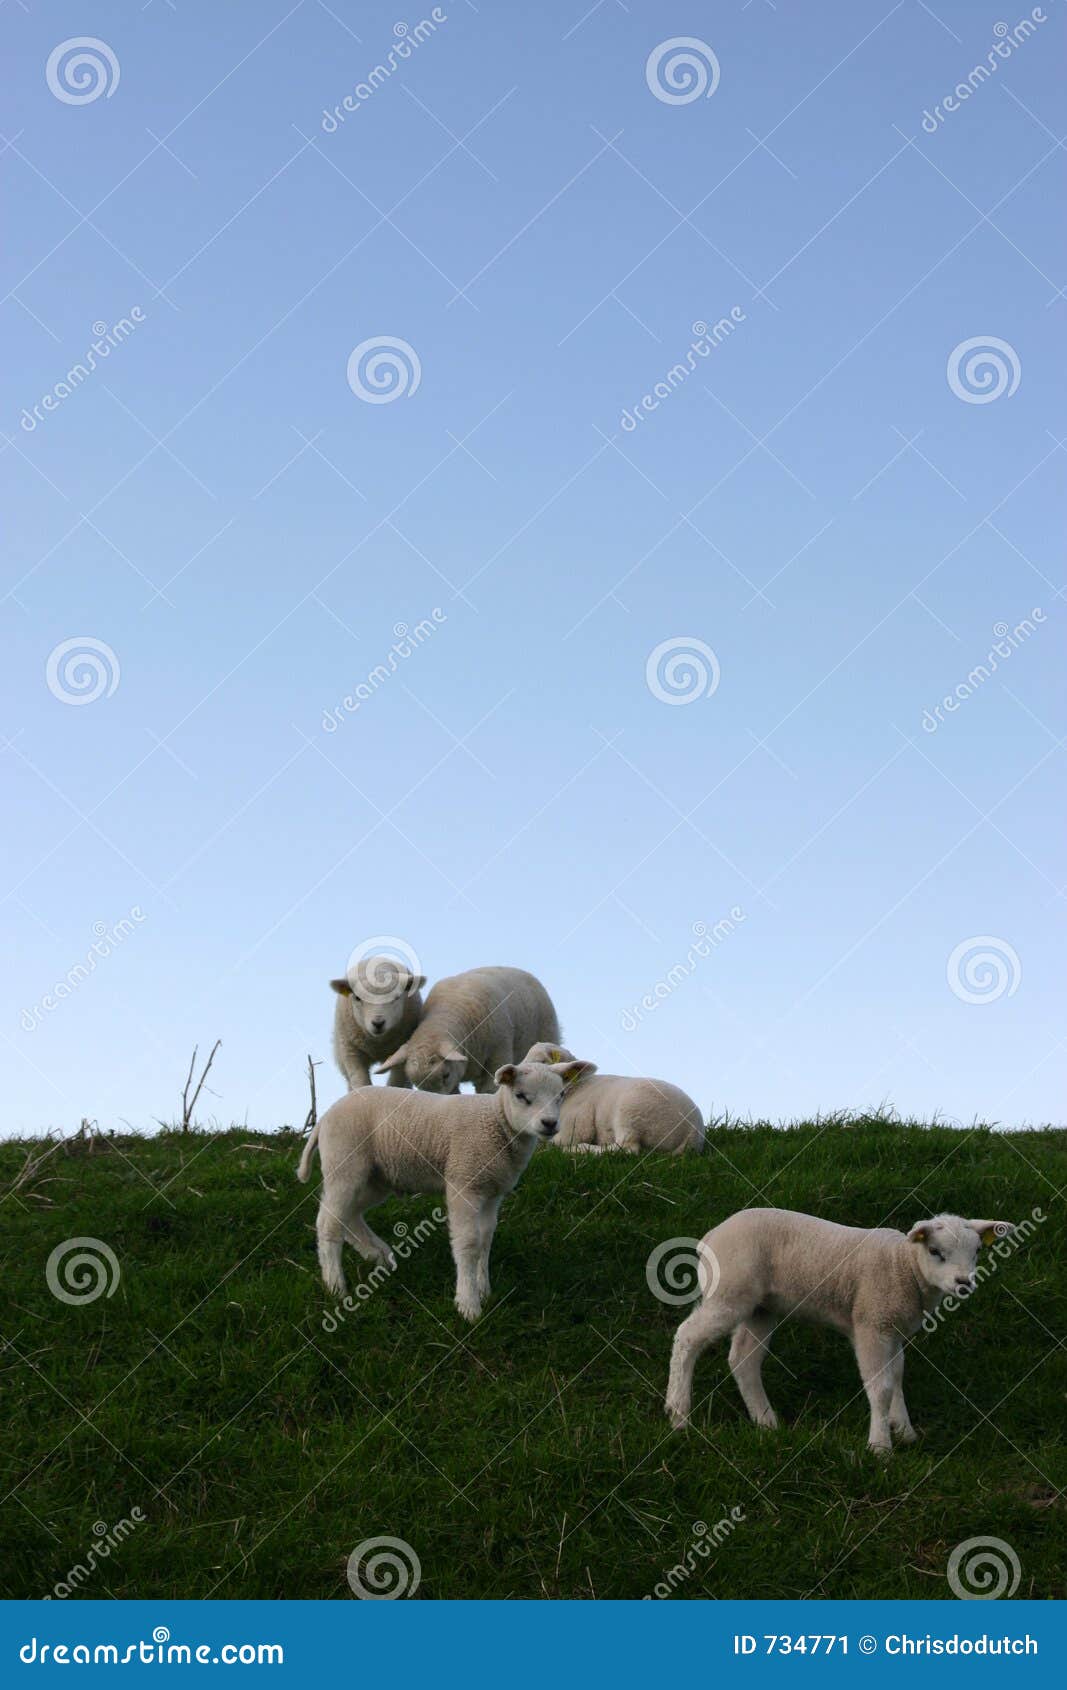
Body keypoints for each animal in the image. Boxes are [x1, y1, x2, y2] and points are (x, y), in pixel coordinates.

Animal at [297, 1056, 586, 1321]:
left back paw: (379, 1254)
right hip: (345, 1163)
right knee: (328, 1222)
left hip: (375, 1177)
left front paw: (483, 1289)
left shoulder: (492, 1191)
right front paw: (468, 1305)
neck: (498, 1121)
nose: (549, 1123)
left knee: (349, 1215)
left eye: (561, 1095)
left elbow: (485, 1239)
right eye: (521, 1096)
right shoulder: (464, 1181)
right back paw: (336, 1286)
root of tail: (325, 1117)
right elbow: (468, 1241)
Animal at [329, 956, 425, 1089]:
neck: (379, 1043)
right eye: (357, 998)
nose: (378, 1023)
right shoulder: (350, 1050)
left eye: (396, 998)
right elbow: (360, 1082)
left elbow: (396, 1083)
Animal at [523, 1043, 704, 1154]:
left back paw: (578, 1150)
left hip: (633, 1112)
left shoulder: (574, 1126)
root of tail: (693, 1133)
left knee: (627, 1148)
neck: (574, 1088)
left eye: (541, 1061)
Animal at [663, 1208, 1018, 1456]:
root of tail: (710, 1238)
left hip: (761, 1307)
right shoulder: (871, 1324)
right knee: (687, 1336)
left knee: (743, 1359)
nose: (964, 1283)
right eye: (935, 1252)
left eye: (977, 1252)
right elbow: (881, 1387)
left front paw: (904, 1431)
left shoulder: (893, 1331)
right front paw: (880, 1447)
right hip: (729, 1291)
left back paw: (767, 1423)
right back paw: (678, 1414)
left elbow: (896, 1378)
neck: (904, 1266)